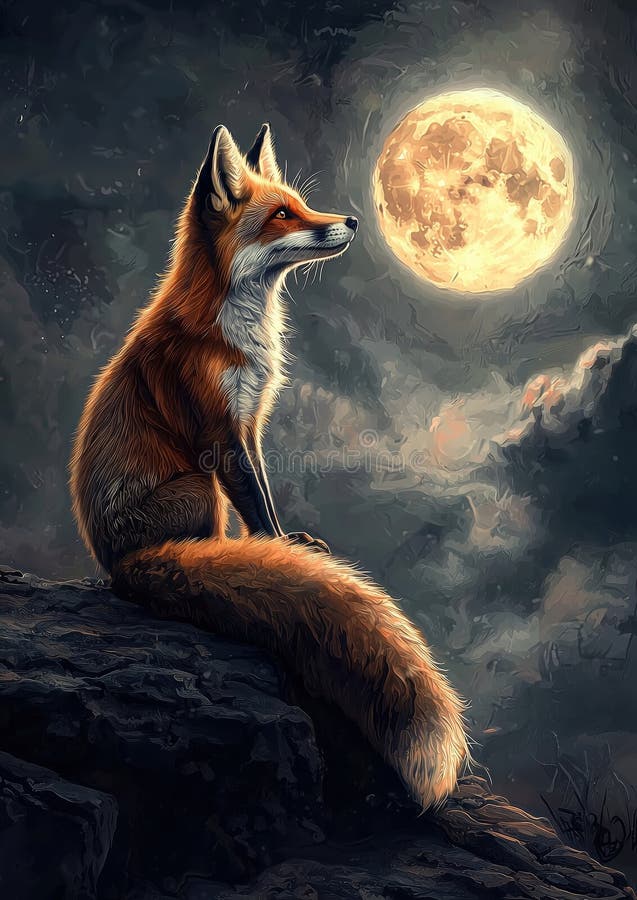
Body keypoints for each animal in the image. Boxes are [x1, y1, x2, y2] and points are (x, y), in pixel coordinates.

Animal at [69, 123, 469, 810]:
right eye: (283, 215)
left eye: (301, 205)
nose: (352, 220)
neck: (240, 337)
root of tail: (116, 562)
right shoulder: (219, 435)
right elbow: (256, 507)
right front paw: (281, 552)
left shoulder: (251, 423)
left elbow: (266, 500)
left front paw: (290, 546)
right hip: (198, 490)